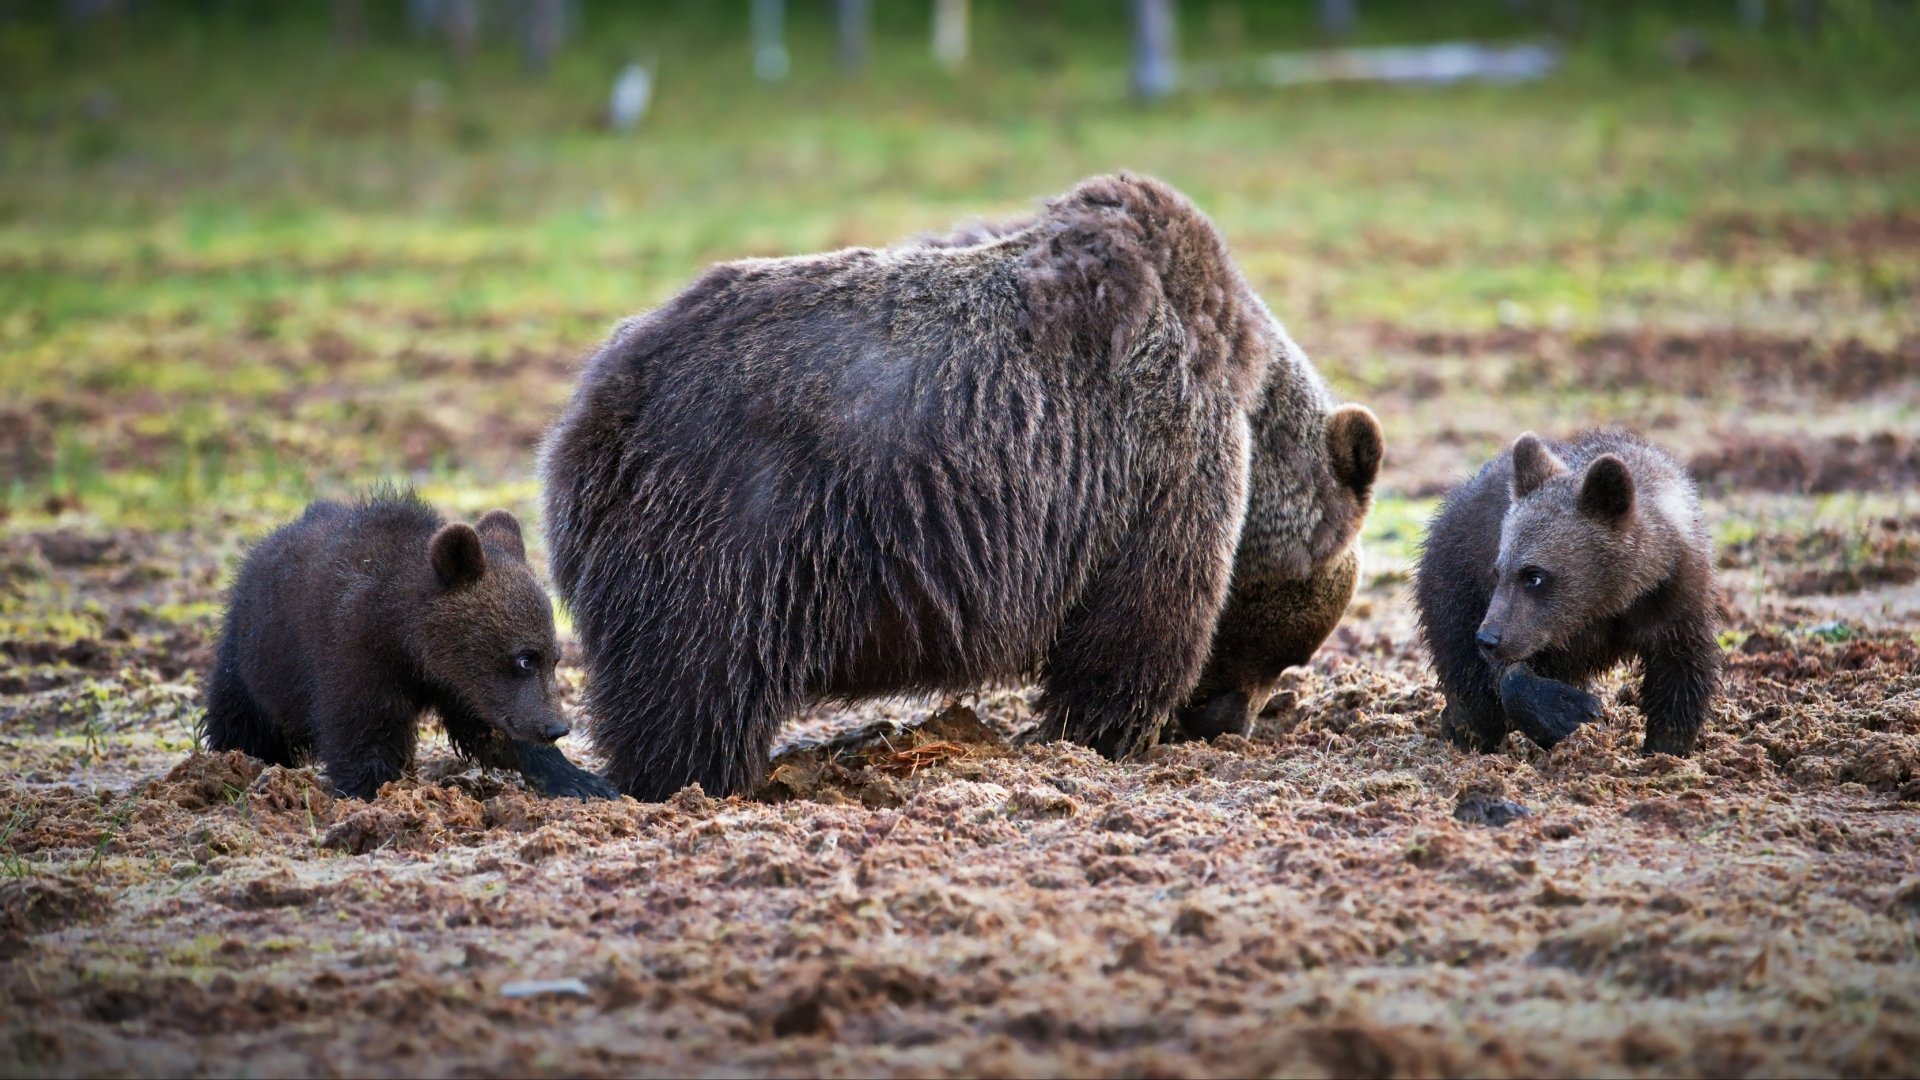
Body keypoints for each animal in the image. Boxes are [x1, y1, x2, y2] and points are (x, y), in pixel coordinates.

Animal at [200, 490, 617, 800]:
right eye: (524, 659)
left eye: (554, 658)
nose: (557, 727)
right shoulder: (353, 650)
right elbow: (361, 731)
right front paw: (373, 794)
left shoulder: (461, 685)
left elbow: (490, 730)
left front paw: (583, 780)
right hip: (251, 655)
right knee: (241, 720)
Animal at [540, 172, 1382, 800]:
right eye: (1292, 648)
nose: (1230, 722)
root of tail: (593, 405)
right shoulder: (1160, 462)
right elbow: (1139, 623)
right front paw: (1104, 734)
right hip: (732, 524)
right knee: (695, 681)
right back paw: (701, 782)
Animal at [1413, 429, 1721, 756]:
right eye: (1498, 572)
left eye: (1534, 576)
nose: (1488, 639)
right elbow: (1507, 674)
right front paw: (1572, 712)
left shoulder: (1675, 600)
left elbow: (1681, 675)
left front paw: (1667, 747)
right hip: (1453, 585)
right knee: (1467, 681)